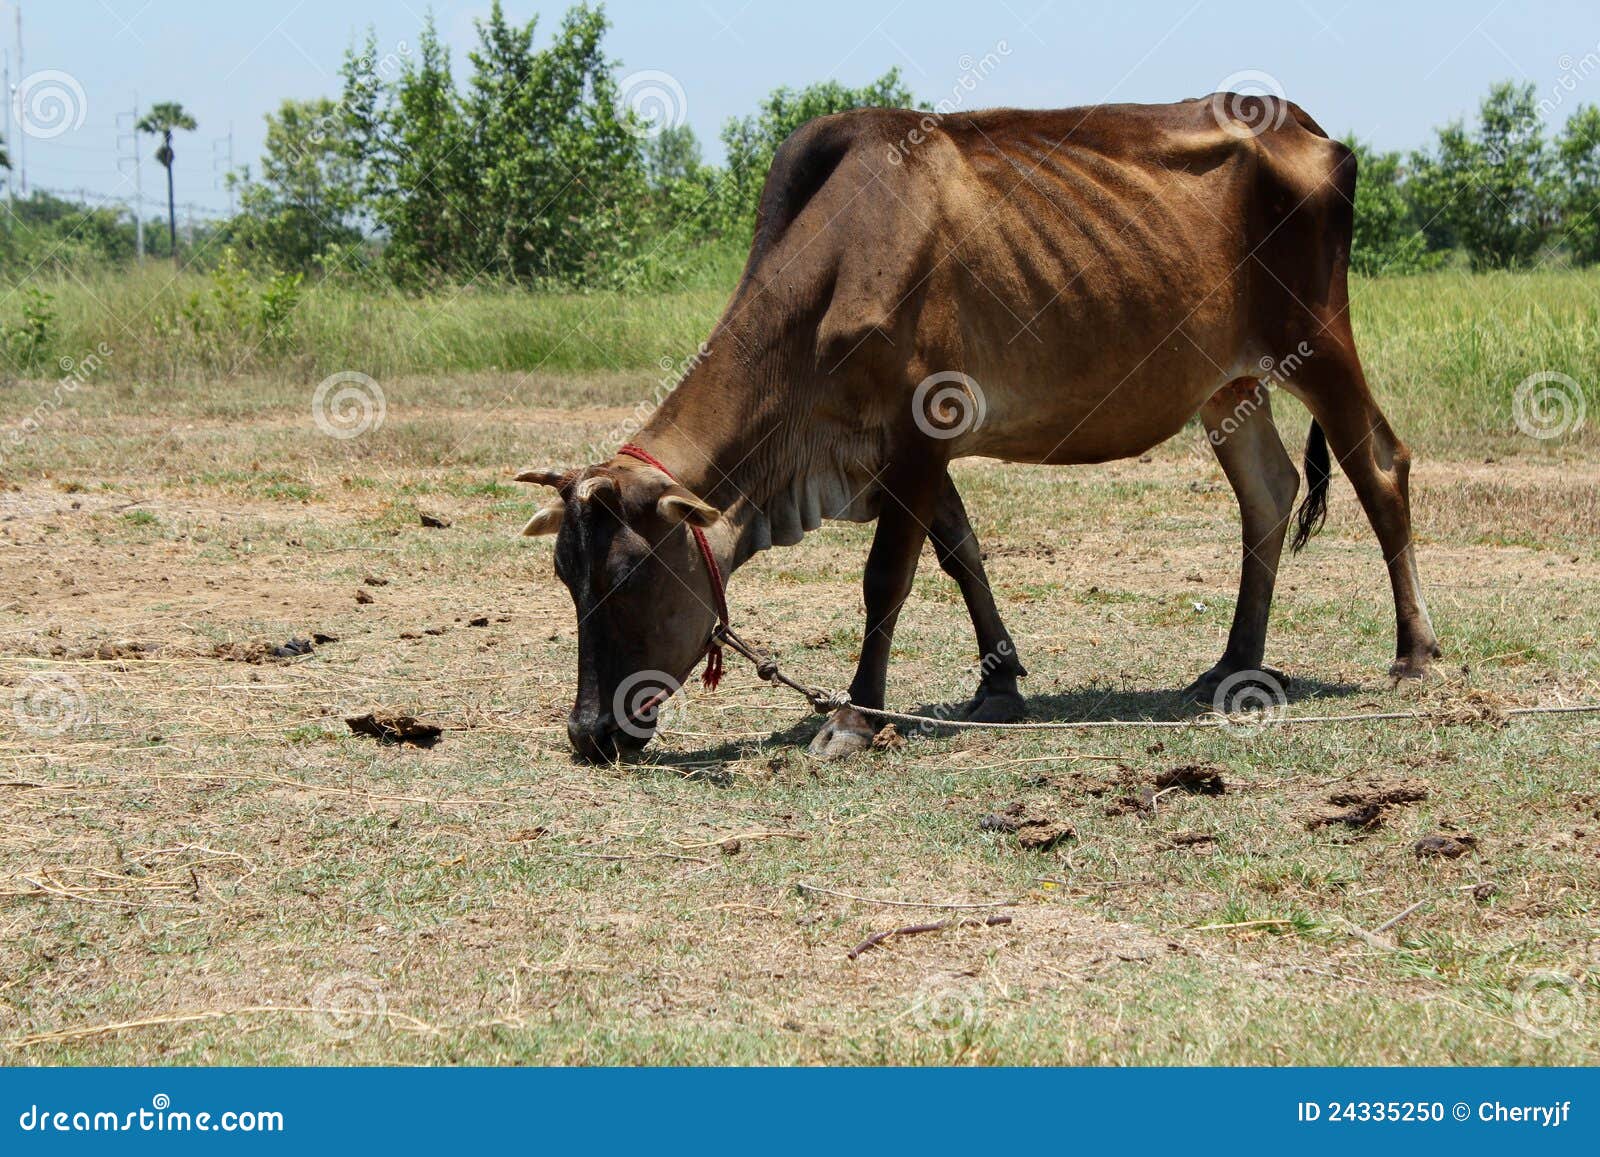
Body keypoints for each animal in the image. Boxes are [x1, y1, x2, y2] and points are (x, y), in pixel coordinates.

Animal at [517, 96, 1441, 762]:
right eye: (565, 575)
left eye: (629, 576)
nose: (588, 732)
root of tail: (1309, 128)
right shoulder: (903, 450)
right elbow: (960, 551)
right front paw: (1000, 685)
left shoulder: (922, 427)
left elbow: (887, 576)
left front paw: (853, 716)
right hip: (1230, 385)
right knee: (1269, 492)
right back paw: (1235, 663)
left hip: (1317, 340)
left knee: (1379, 465)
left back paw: (1414, 654)